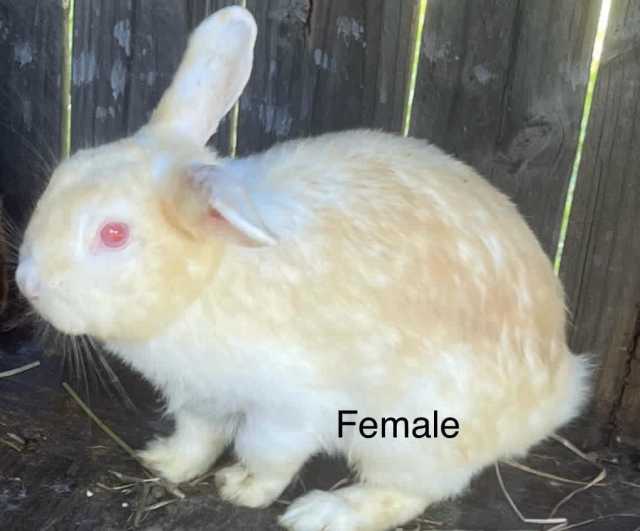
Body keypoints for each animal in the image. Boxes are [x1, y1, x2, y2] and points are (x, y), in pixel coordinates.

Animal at [16, 6, 590, 531]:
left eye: (113, 233)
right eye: (61, 175)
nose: (27, 283)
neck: (204, 281)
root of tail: (555, 393)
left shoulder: (289, 410)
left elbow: (266, 454)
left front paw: (242, 489)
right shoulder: (198, 397)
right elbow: (199, 435)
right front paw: (166, 462)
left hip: (411, 433)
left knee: (410, 493)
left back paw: (324, 513)